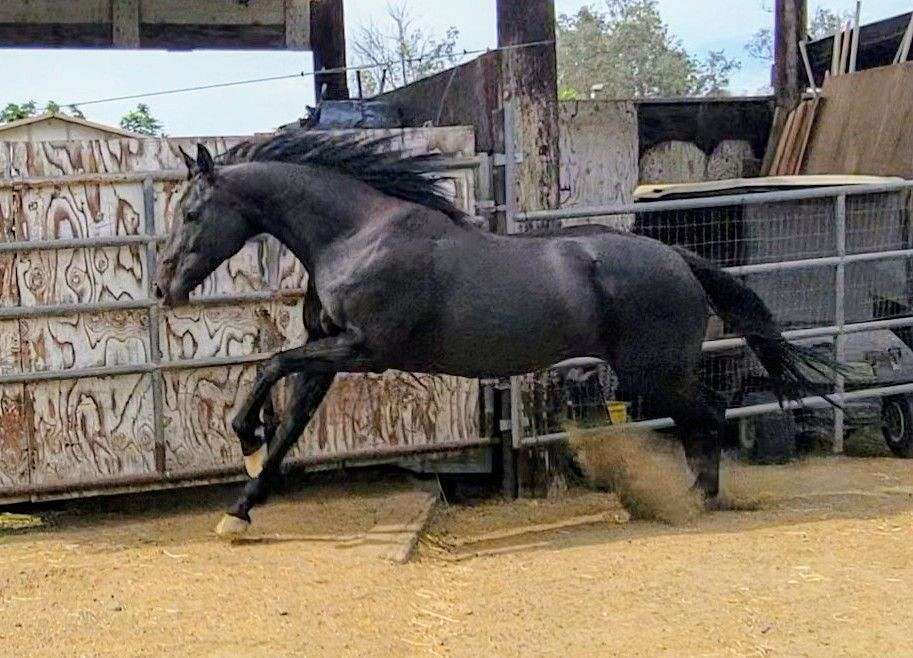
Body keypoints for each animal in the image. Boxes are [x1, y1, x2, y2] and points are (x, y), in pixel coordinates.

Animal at [155, 134, 840, 536]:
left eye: (192, 212)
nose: (164, 286)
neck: (355, 235)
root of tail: (678, 259)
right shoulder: (330, 358)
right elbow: (290, 423)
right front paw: (240, 509)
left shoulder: (363, 349)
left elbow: (271, 364)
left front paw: (245, 438)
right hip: (657, 373)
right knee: (706, 416)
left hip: (657, 371)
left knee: (712, 412)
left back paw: (693, 501)